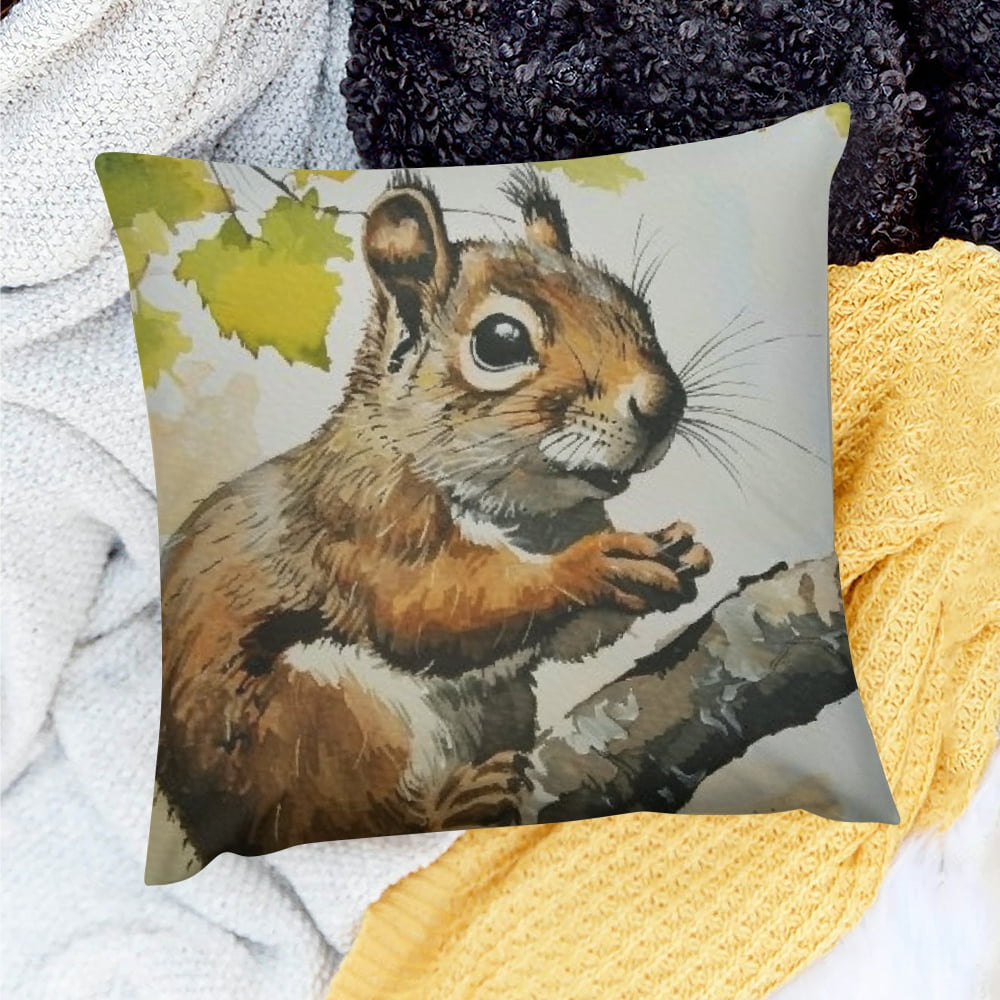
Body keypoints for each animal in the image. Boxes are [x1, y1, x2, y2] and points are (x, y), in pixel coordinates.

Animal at [156, 166, 712, 864]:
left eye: (635, 307)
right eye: (499, 342)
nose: (664, 405)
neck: (525, 517)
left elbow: (572, 638)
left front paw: (677, 550)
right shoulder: (364, 522)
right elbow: (430, 607)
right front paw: (591, 567)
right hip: (321, 721)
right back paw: (454, 803)